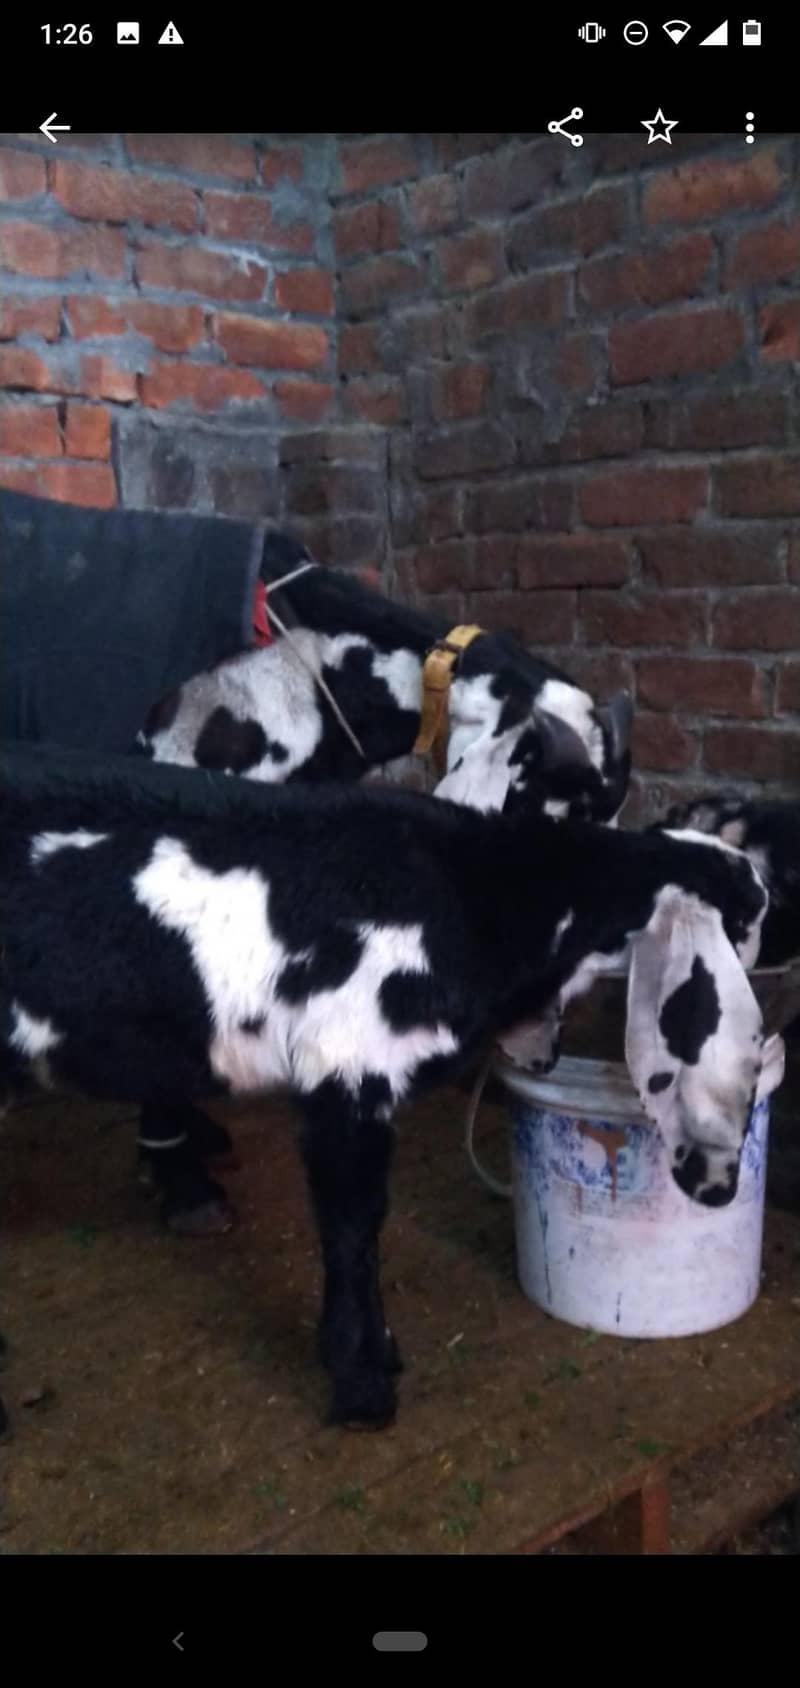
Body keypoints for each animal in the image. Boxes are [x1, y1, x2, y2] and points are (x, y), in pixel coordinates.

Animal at [0, 745, 768, 1430]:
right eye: (743, 914)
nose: (763, 894)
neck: (488, 898)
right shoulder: (346, 1069)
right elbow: (353, 1226)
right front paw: (363, 1385)